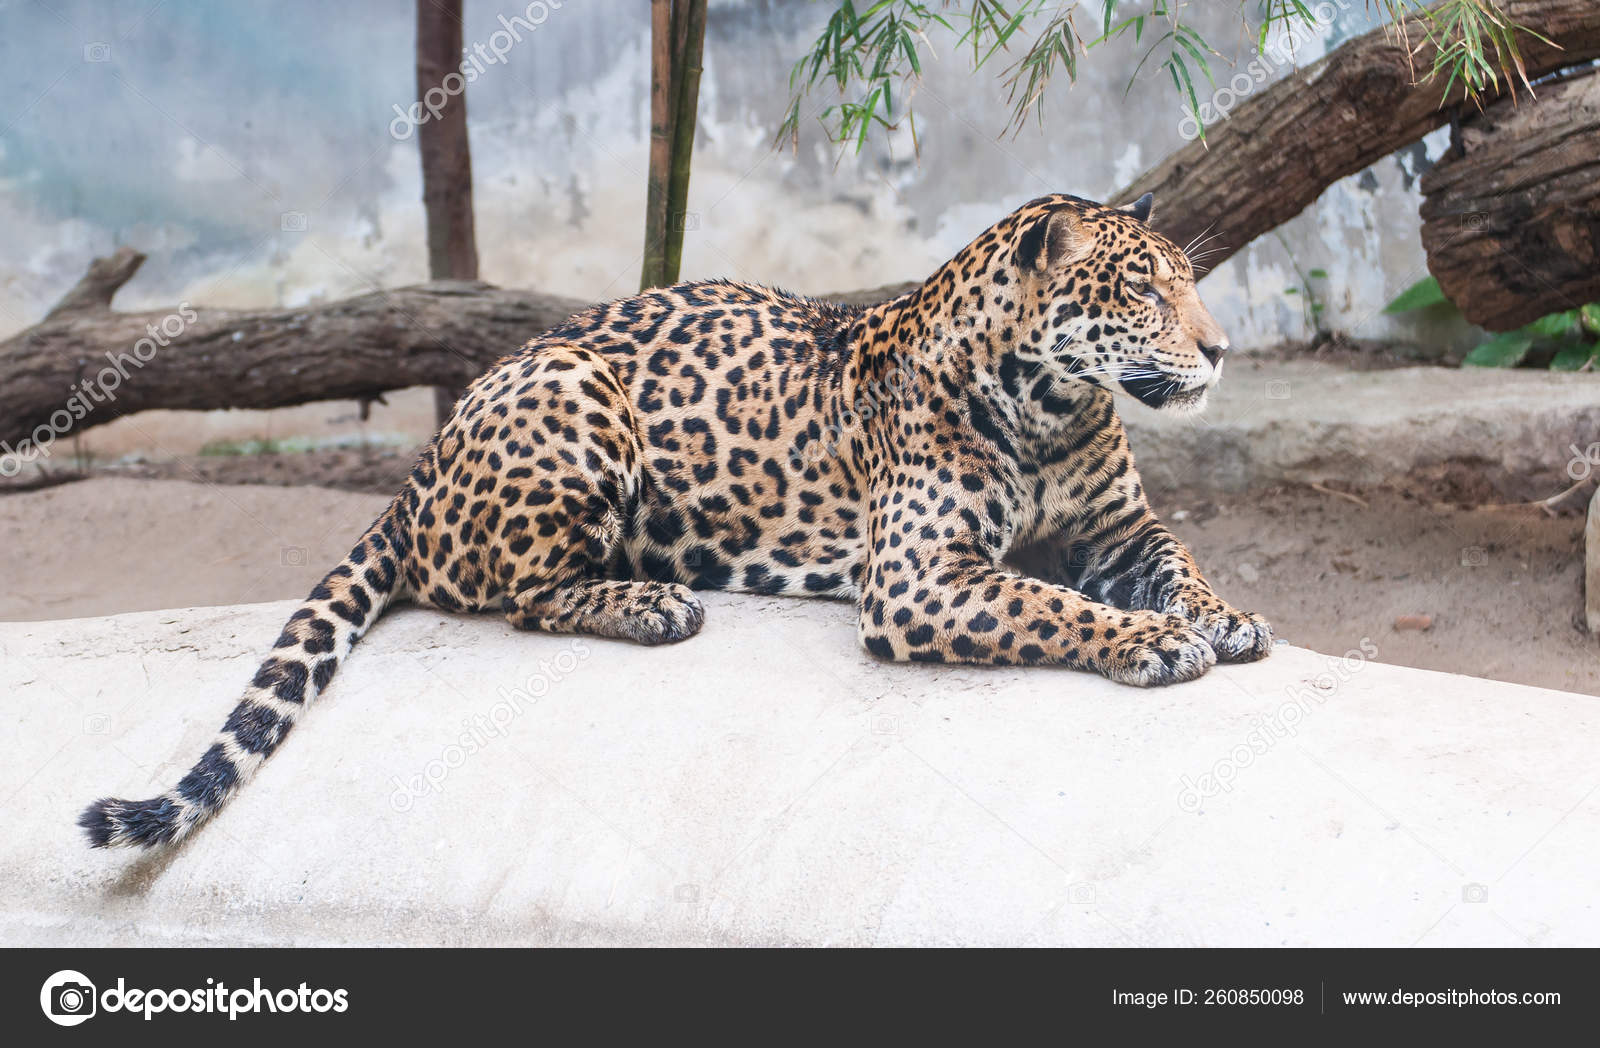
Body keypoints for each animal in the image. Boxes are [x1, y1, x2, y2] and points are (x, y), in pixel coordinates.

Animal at [80, 192, 1272, 849]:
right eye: (1143, 293)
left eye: (1187, 285)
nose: (1218, 351)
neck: (1051, 402)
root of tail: (418, 472)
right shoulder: (921, 577)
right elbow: (1044, 603)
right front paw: (1153, 641)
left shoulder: (1118, 532)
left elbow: (1181, 559)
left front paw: (1224, 619)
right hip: (573, 392)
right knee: (520, 597)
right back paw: (653, 603)